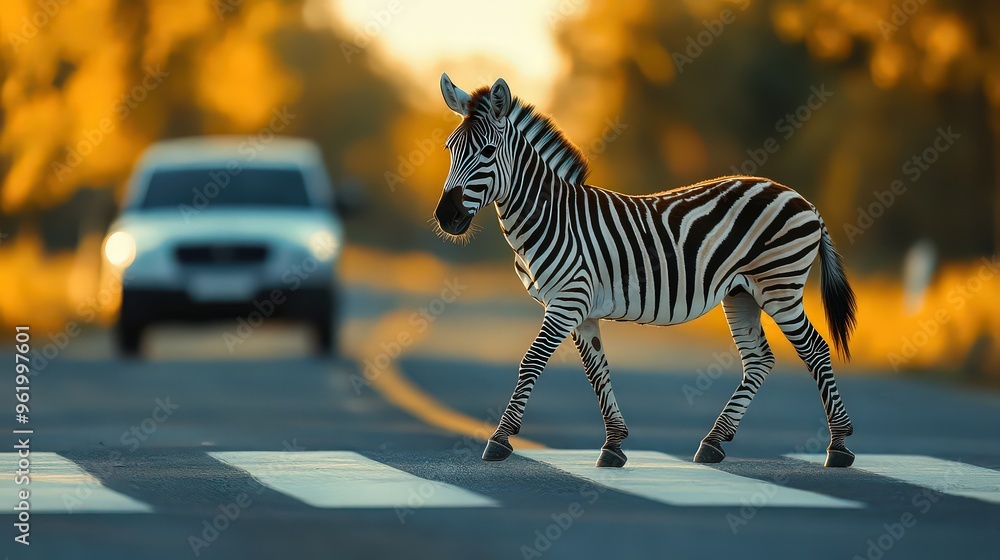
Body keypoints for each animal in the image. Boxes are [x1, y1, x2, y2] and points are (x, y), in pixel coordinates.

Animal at [433, 73, 858, 469]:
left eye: (488, 151)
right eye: (450, 149)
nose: (446, 217)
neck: (552, 217)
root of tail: (801, 198)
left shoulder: (567, 301)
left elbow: (531, 362)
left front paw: (500, 439)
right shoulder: (582, 308)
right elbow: (597, 371)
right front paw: (614, 444)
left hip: (779, 286)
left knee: (816, 350)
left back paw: (838, 446)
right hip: (742, 293)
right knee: (759, 360)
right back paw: (713, 442)